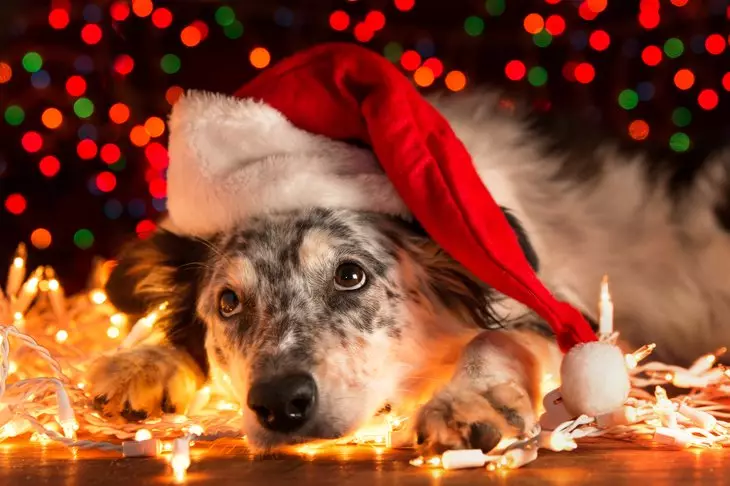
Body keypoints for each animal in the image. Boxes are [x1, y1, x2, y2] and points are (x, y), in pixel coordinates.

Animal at [85, 89, 728, 454]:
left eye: (351, 275)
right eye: (228, 303)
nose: (278, 403)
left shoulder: (565, 314)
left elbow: (493, 338)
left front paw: (467, 401)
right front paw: (141, 362)